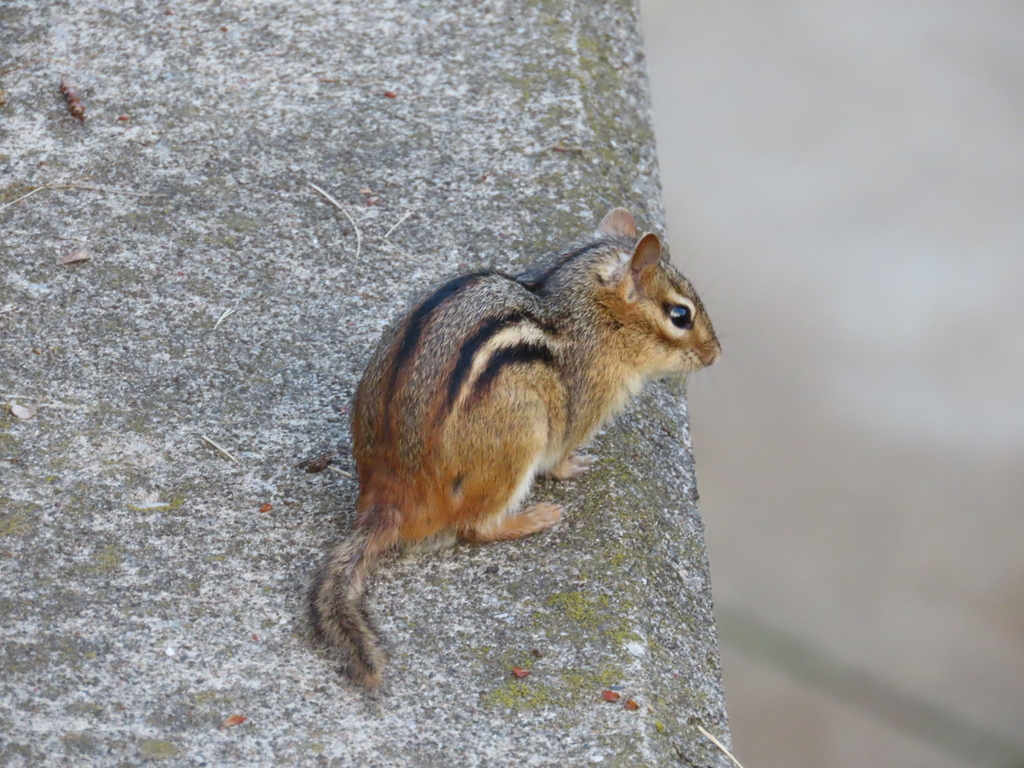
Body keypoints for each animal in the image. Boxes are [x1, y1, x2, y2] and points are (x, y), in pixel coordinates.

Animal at [308, 207, 721, 689]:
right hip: (521, 437)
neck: (587, 317)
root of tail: (390, 503)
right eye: (680, 315)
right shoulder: (581, 410)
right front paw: (574, 467)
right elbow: (559, 459)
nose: (715, 354)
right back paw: (535, 517)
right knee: (476, 527)